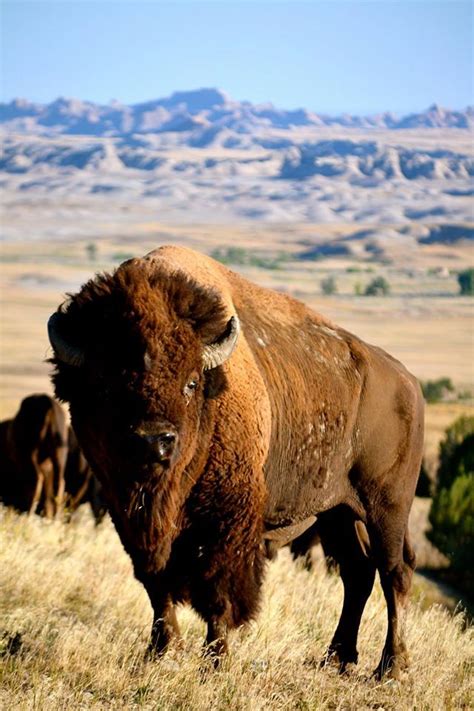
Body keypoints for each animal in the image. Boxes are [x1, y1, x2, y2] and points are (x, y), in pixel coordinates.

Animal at [48, 245, 424, 678]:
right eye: (105, 386)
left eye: (191, 382)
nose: (153, 440)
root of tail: (409, 383)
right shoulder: (129, 516)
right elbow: (155, 581)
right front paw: (161, 650)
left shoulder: (225, 521)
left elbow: (218, 588)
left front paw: (216, 659)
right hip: (337, 512)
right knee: (357, 572)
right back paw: (337, 658)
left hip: (386, 507)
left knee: (394, 572)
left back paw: (391, 668)